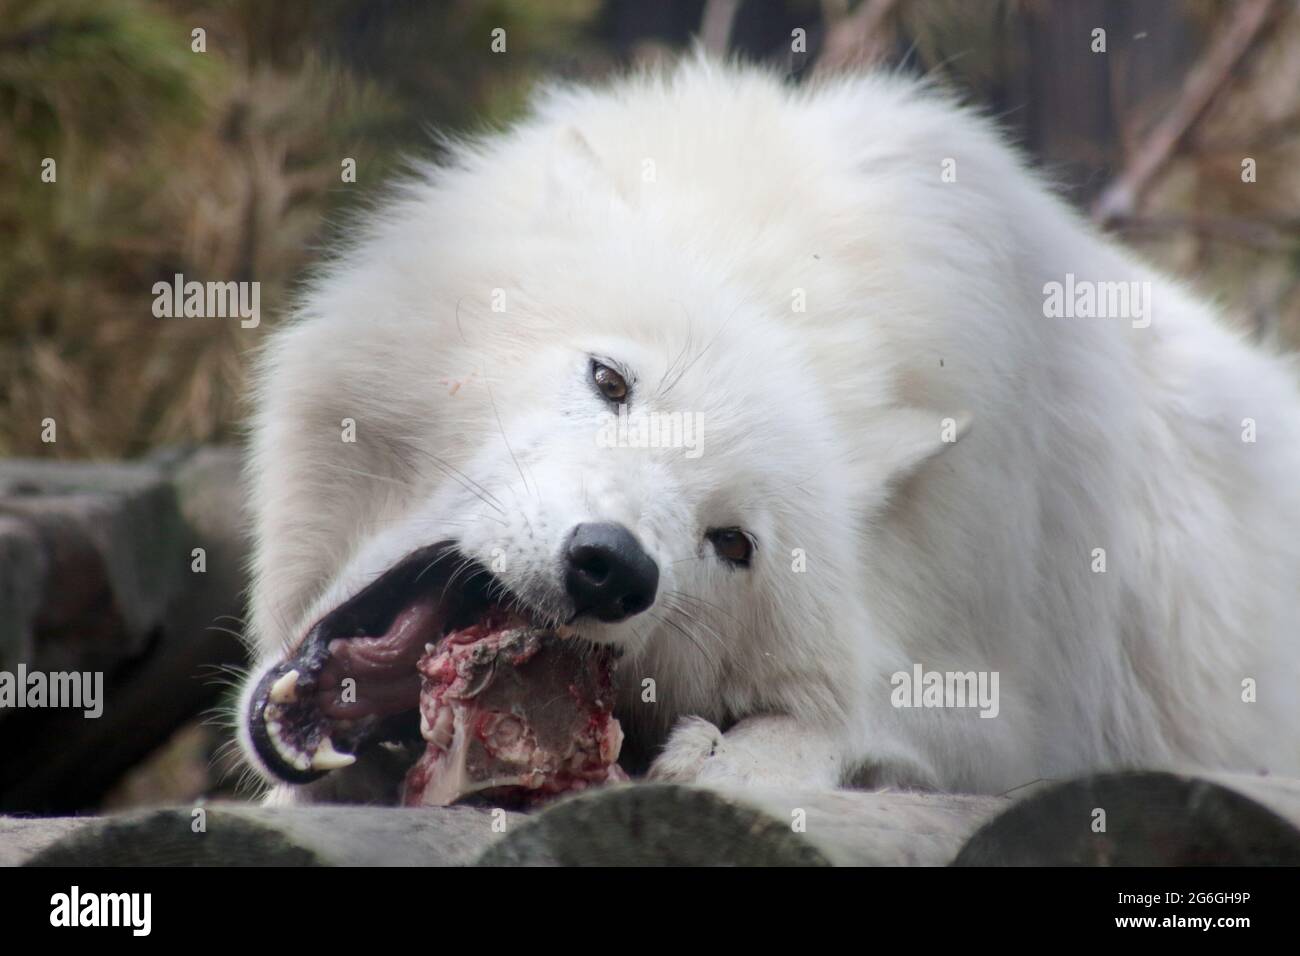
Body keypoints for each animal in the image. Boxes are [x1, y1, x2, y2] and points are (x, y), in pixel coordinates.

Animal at [236, 57, 1300, 804]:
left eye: (733, 543)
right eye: (609, 380)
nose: (613, 567)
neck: (808, 277)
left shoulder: (1011, 700)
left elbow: (846, 722)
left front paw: (735, 759)